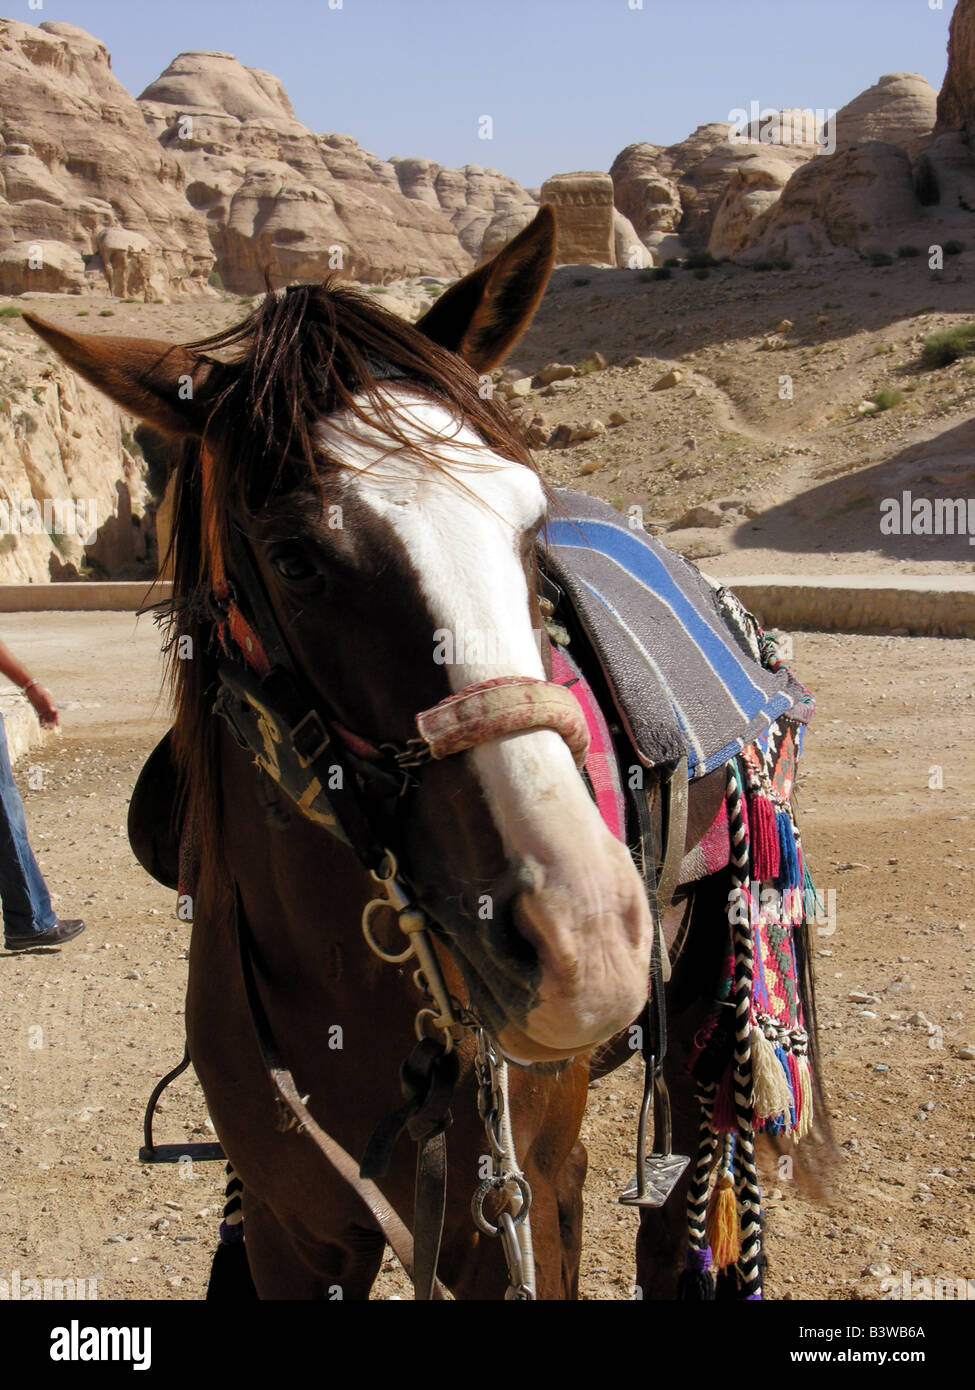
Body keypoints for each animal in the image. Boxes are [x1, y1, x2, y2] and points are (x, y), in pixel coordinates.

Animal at [25, 206, 826, 1300]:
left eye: (531, 528)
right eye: (293, 559)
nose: (584, 941)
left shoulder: (527, 1206)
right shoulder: (292, 1228)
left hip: (711, 1014)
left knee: (676, 1233)